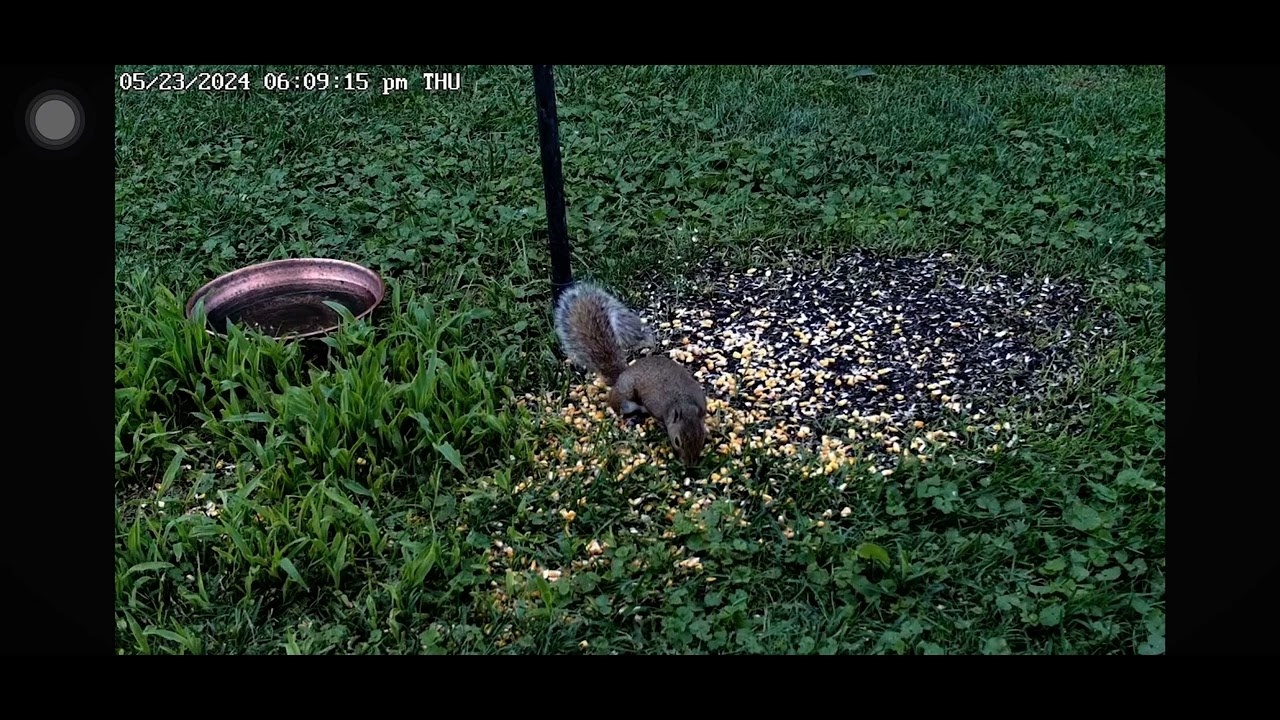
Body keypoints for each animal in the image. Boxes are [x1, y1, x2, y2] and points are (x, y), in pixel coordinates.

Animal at [553, 282, 708, 466]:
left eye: (702, 438)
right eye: (677, 441)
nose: (690, 465)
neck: (683, 402)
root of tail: (622, 375)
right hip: (625, 398)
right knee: (617, 408)